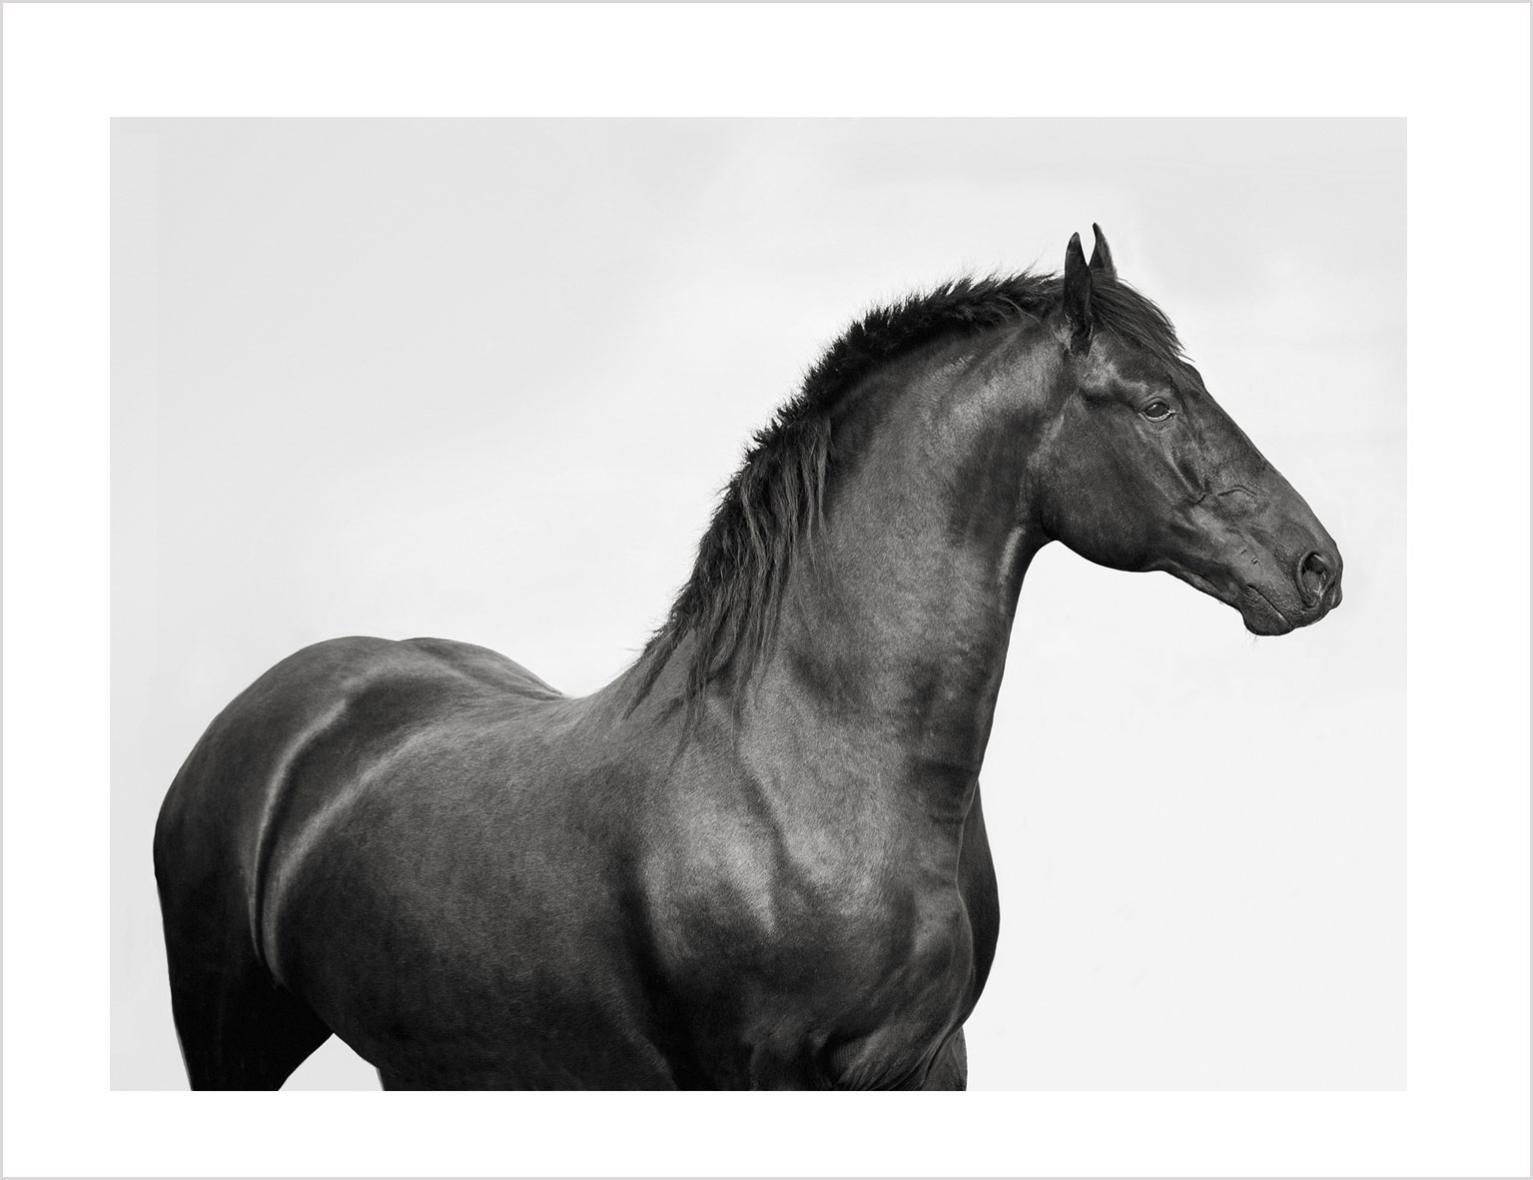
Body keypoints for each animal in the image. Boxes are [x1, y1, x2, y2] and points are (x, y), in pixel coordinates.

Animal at [153, 226, 1343, 1090]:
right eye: (1156, 401)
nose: (1316, 567)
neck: (808, 766)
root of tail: (267, 711)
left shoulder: (932, 1065)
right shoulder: (754, 1071)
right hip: (233, 1049)